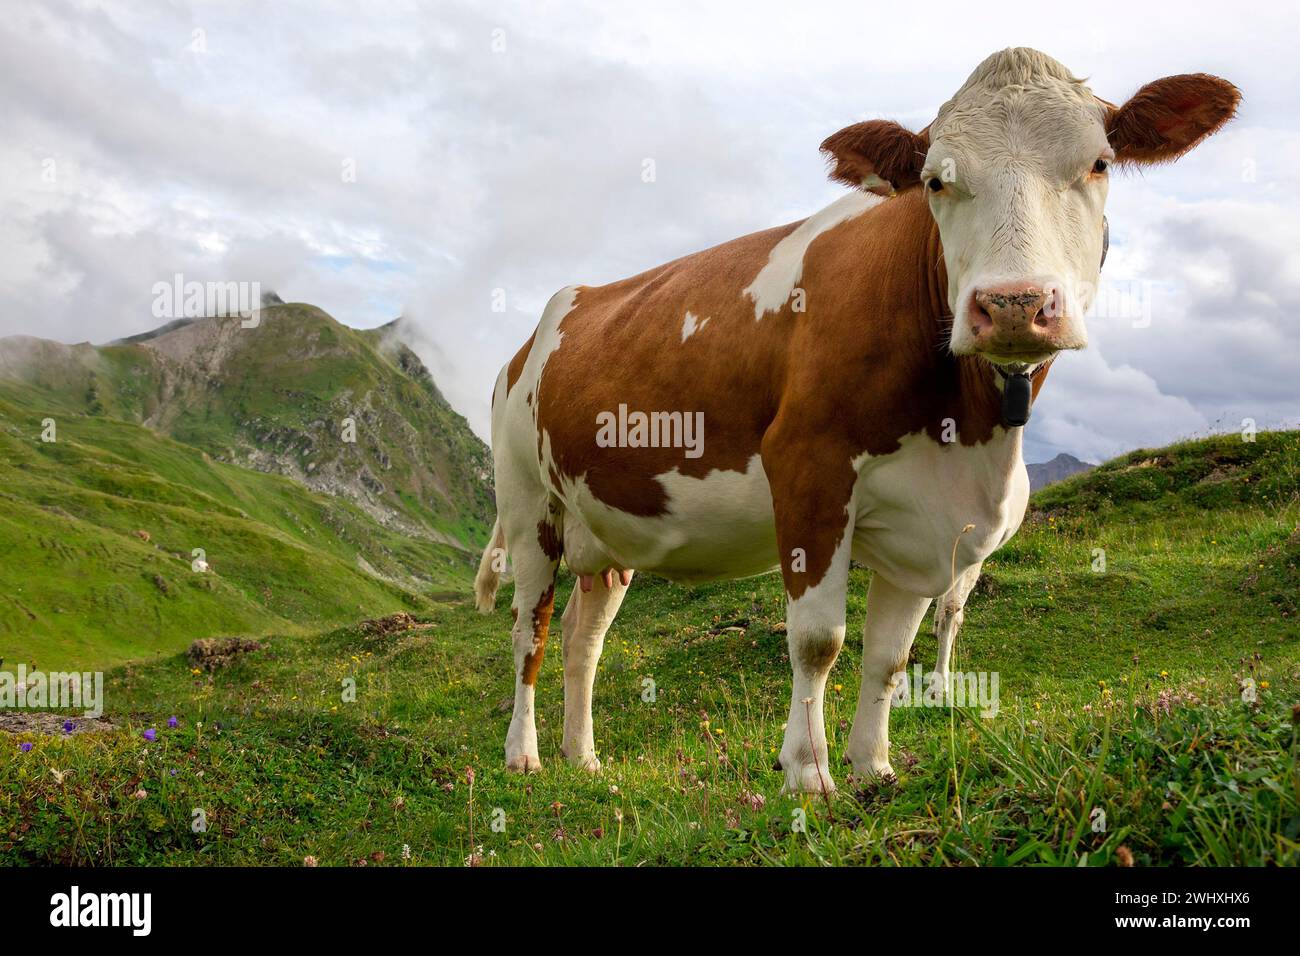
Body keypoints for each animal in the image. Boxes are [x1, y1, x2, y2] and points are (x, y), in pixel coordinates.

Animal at [475, 48, 1239, 793]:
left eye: (1100, 163)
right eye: (934, 181)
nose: (1015, 303)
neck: (970, 436)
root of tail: (545, 325)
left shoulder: (925, 524)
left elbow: (888, 656)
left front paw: (872, 765)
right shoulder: (809, 470)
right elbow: (820, 642)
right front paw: (807, 772)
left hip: (606, 533)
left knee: (582, 640)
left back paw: (583, 756)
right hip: (527, 504)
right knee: (529, 632)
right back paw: (524, 754)